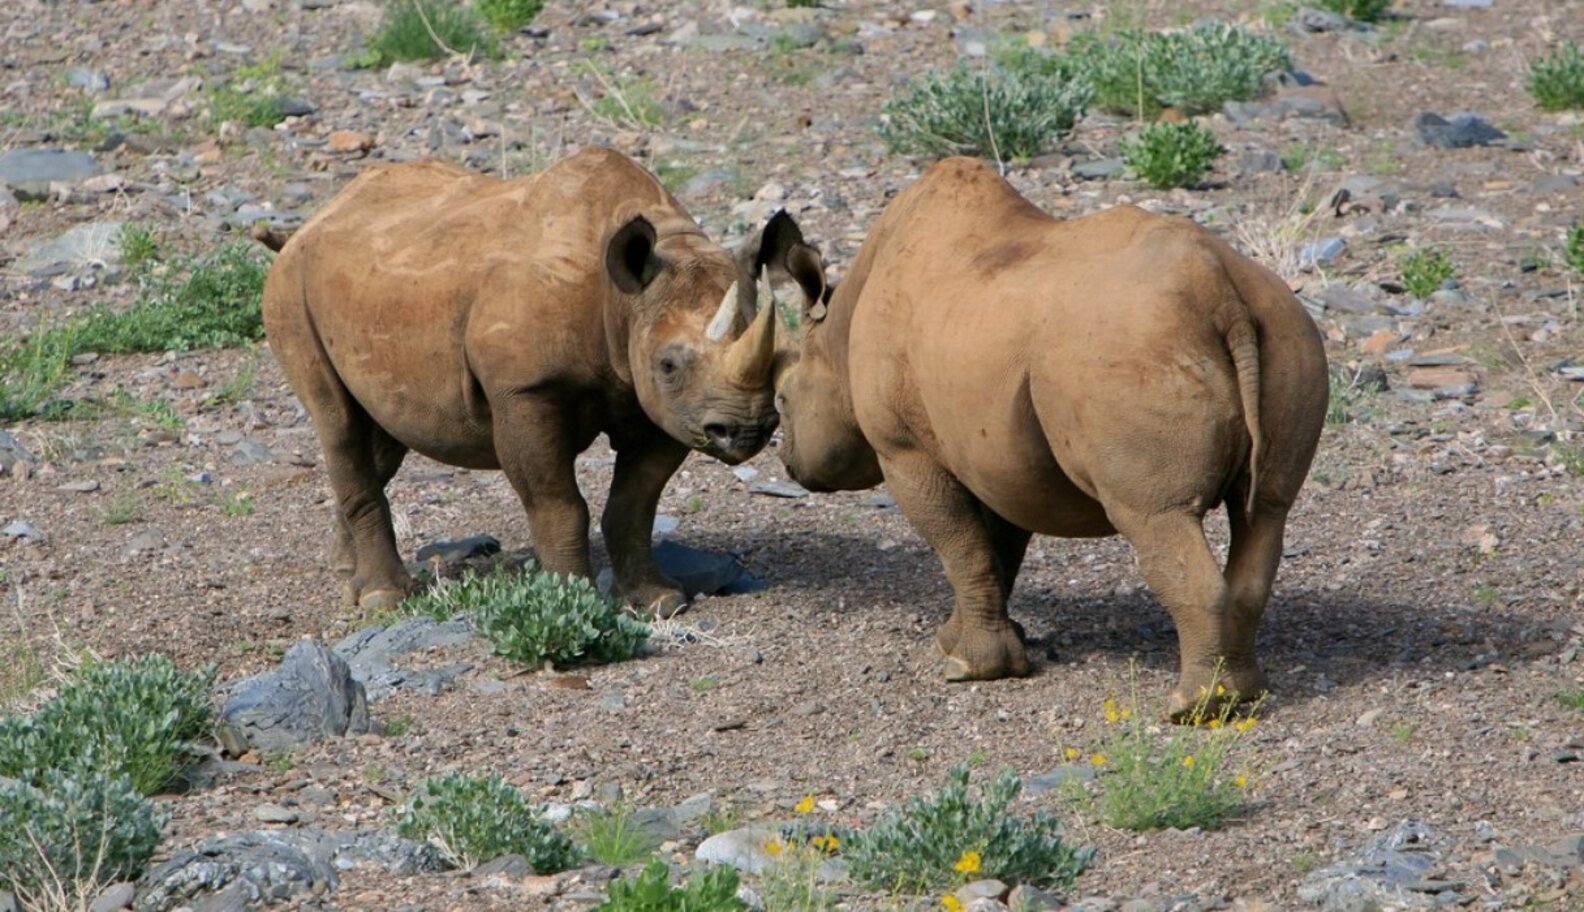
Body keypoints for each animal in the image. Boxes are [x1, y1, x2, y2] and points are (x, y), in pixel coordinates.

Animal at [261, 147, 804, 616]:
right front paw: (573, 601)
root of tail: (316, 218)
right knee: (338, 422)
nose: (747, 429)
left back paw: (346, 575)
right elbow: (557, 502)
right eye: (669, 365)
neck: (622, 301)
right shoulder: (526, 390)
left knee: (384, 434)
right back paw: (384, 598)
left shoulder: (664, 407)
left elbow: (635, 503)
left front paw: (657, 601)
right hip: (291, 288)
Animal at [772, 157, 1329, 714]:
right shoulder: (996, 454)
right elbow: (994, 552)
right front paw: (962, 643)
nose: (789, 464)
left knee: (1159, 516)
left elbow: (959, 546)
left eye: (781, 401)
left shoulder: (904, 450)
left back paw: (1193, 708)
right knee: (1266, 512)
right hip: (1288, 334)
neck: (838, 336)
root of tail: (1220, 291)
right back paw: (1246, 695)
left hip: (1130, 350)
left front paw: (969, 668)